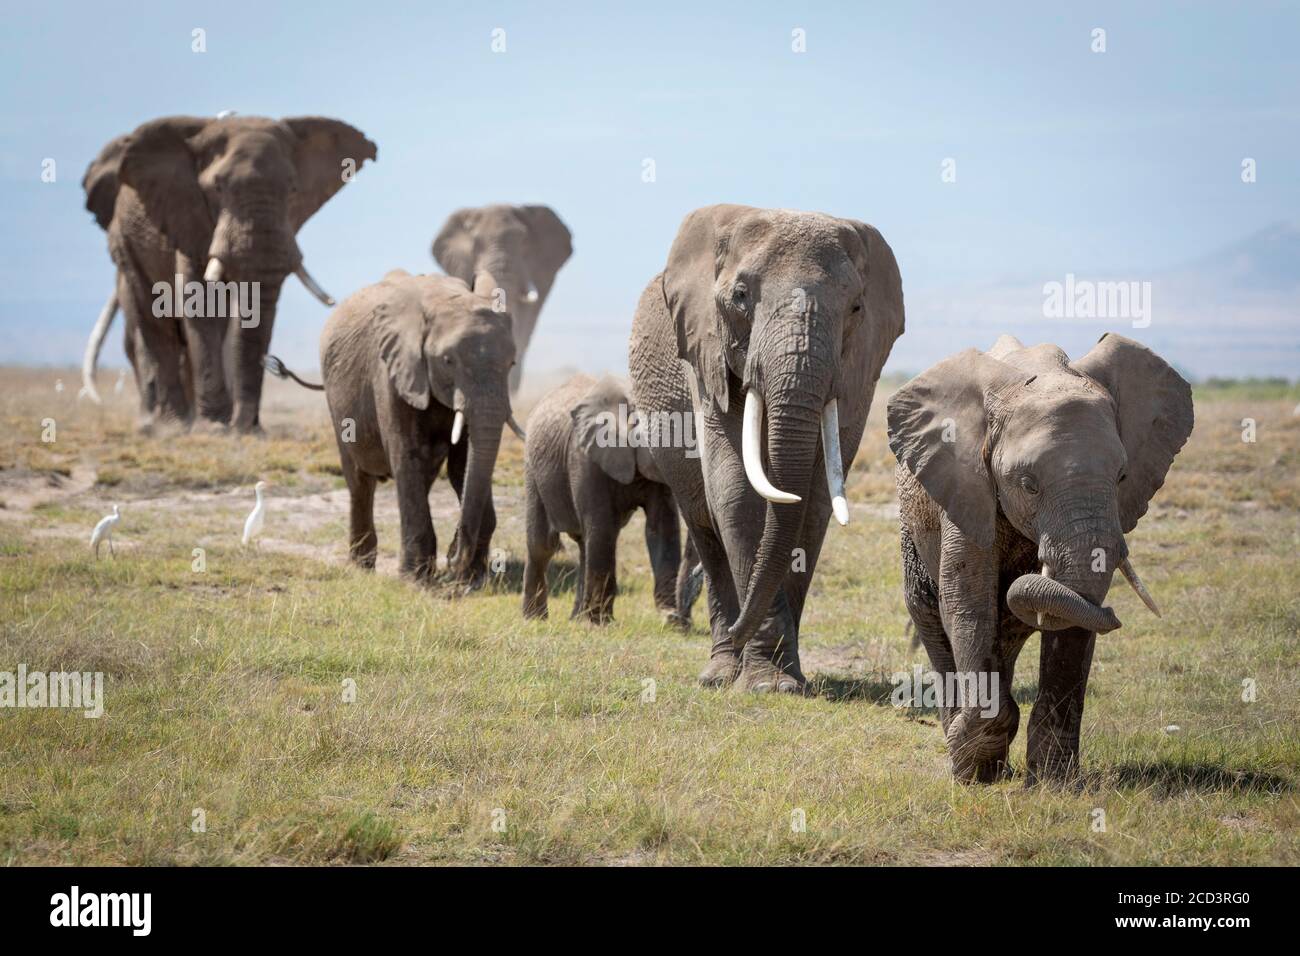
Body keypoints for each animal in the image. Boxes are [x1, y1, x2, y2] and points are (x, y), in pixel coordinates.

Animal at [79, 115, 377, 434]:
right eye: (217, 188)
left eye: (293, 190)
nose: (248, 426)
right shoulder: (187, 214)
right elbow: (200, 303)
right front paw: (215, 428)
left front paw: (242, 429)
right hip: (126, 242)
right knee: (151, 318)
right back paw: (170, 425)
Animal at [314, 265, 522, 587]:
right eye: (448, 361)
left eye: (512, 363)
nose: (453, 559)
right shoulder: (393, 370)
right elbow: (406, 456)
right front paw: (415, 580)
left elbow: (463, 465)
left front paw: (471, 578)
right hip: (336, 405)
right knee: (359, 482)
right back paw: (361, 567)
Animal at [522, 374, 691, 629]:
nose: (682, 616)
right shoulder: (585, 458)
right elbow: (602, 528)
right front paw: (600, 625)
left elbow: (662, 527)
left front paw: (671, 619)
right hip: (533, 469)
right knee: (543, 544)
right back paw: (535, 619)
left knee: (585, 544)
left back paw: (576, 620)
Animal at [889, 335, 1190, 785]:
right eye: (1028, 484)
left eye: (1121, 477)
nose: (1116, 616)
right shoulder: (966, 486)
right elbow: (966, 602)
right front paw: (972, 765)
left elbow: (1078, 614)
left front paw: (1054, 780)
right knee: (929, 610)